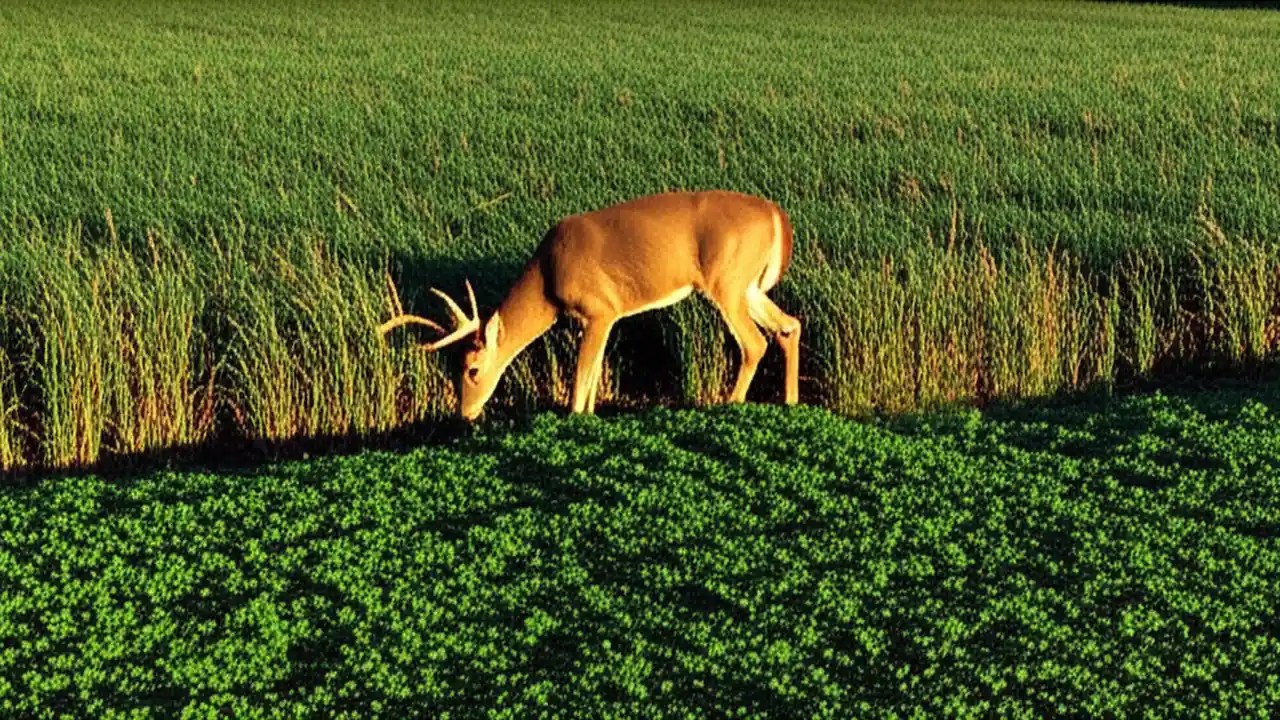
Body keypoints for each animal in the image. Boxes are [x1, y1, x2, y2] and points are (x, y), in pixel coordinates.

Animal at [378, 190, 801, 421]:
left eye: (472, 369)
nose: (465, 412)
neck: (548, 275)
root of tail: (775, 215)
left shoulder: (600, 310)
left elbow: (580, 385)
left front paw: (576, 421)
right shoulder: (601, 319)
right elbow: (594, 377)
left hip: (726, 282)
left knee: (755, 342)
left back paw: (731, 405)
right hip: (749, 286)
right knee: (789, 326)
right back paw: (791, 403)